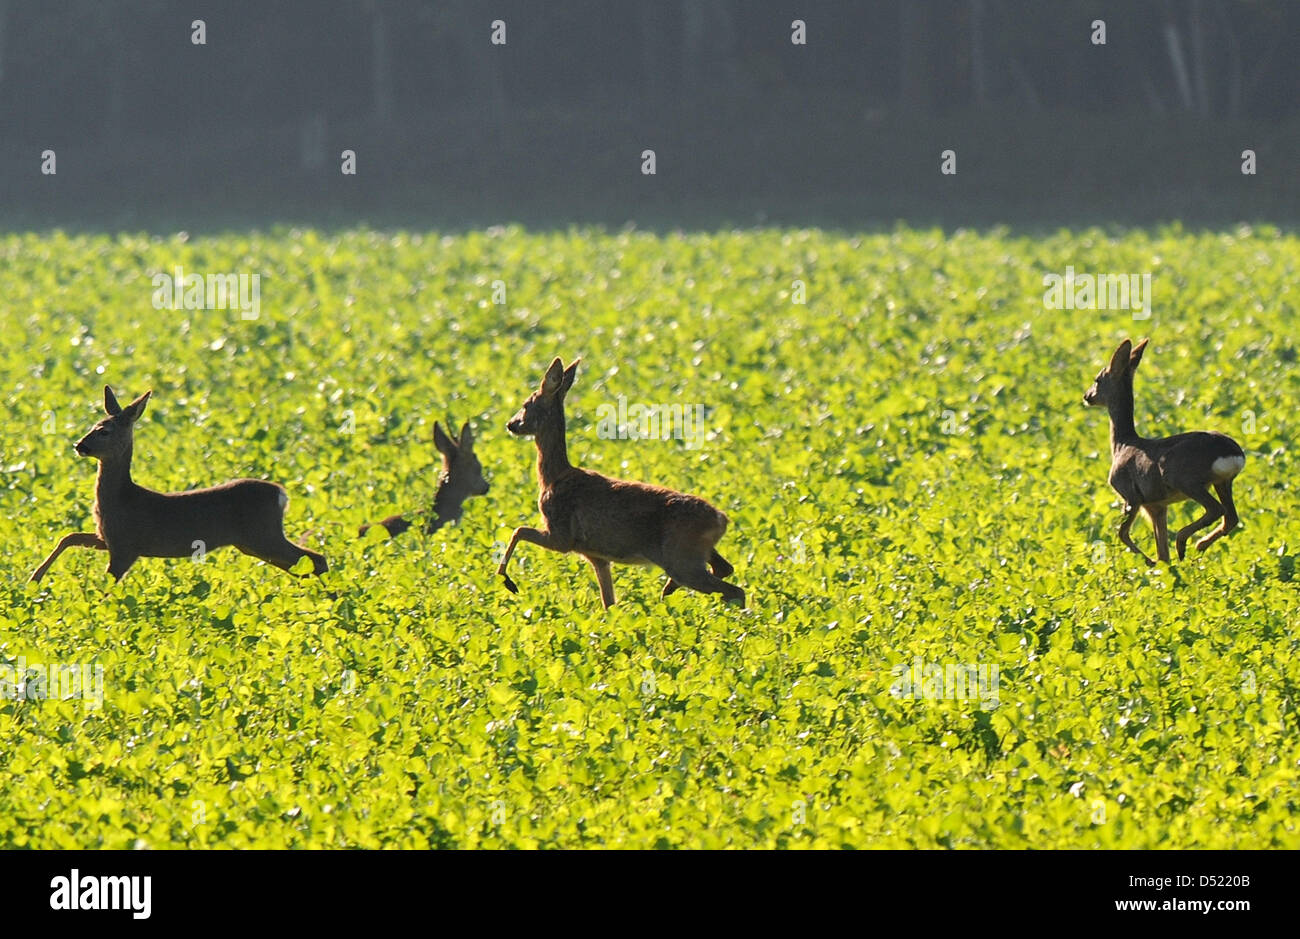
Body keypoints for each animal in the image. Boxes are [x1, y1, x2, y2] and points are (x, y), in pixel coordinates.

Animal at [29, 386, 328, 584]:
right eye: (93, 425)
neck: (121, 499)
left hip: (263, 534)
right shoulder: (107, 538)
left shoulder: (126, 546)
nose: (79, 445)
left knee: (316, 559)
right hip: (252, 542)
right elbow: (69, 537)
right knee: (304, 564)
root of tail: (281, 493)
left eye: (104, 431)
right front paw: (34, 578)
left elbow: (107, 585)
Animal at [497, 357, 744, 608]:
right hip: (695, 553)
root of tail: (721, 519)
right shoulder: (597, 556)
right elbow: (609, 603)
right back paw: (669, 591)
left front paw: (507, 581)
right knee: (725, 569)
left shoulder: (561, 535)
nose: (511, 424)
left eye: (526, 404)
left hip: (682, 557)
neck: (554, 478)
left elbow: (518, 530)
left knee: (734, 589)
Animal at [1084, 338, 1246, 565]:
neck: (1122, 444)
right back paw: (1198, 545)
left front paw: (1149, 562)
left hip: (1183, 478)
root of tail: (1234, 454)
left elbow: (1122, 533)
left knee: (1216, 509)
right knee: (1231, 516)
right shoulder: (1157, 505)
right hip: (1222, 481)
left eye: (1097, 379)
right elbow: (1162, 550)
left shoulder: (1131, 495)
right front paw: (1163, 567)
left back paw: (1184, 543)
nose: (1087, 396)